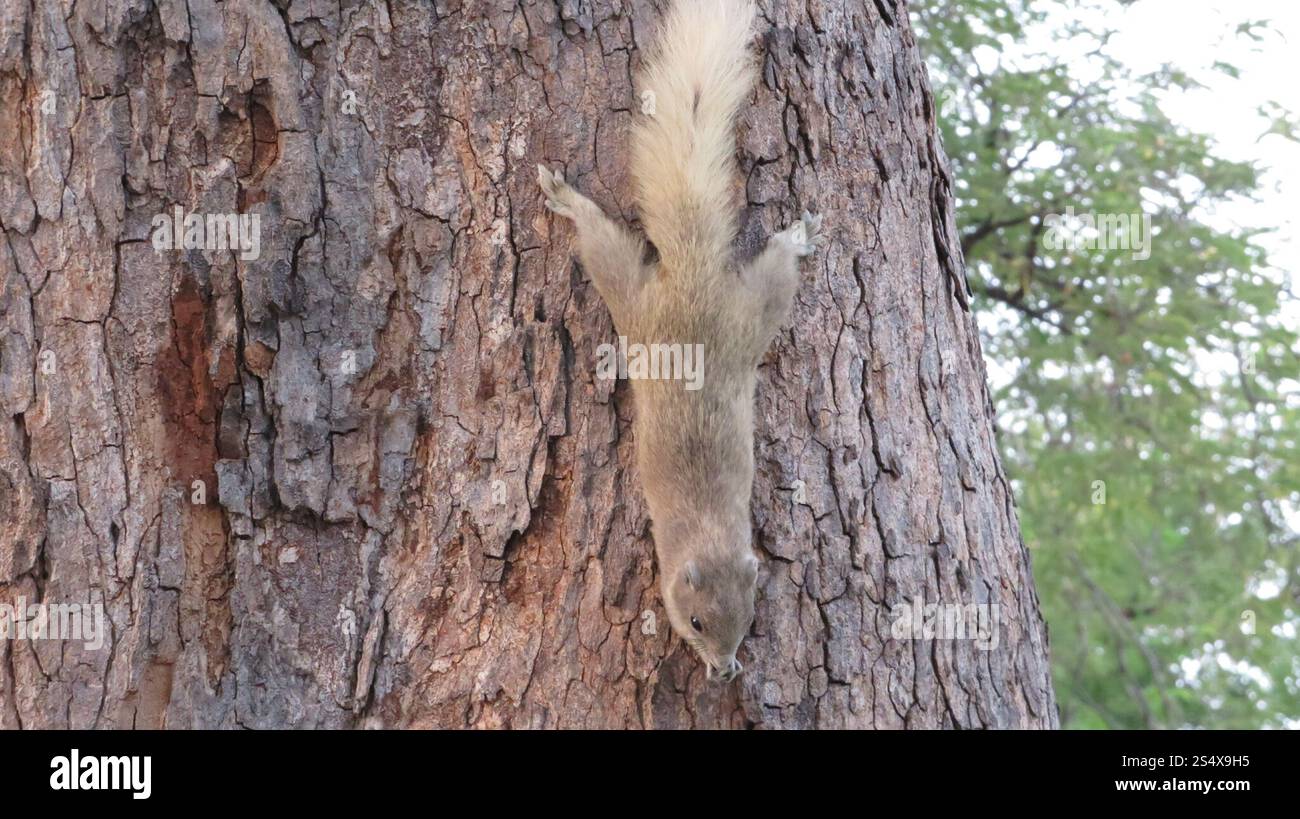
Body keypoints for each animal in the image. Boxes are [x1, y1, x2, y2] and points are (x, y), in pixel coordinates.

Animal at [537, 0, 823, 681]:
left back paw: (796, 235)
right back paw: (566, 197)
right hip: (653, 299)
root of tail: (692, 278)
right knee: (601, 240)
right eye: (694, 622)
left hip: (744, 315)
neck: (711, 530)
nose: (725, 670)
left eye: (749, 620)